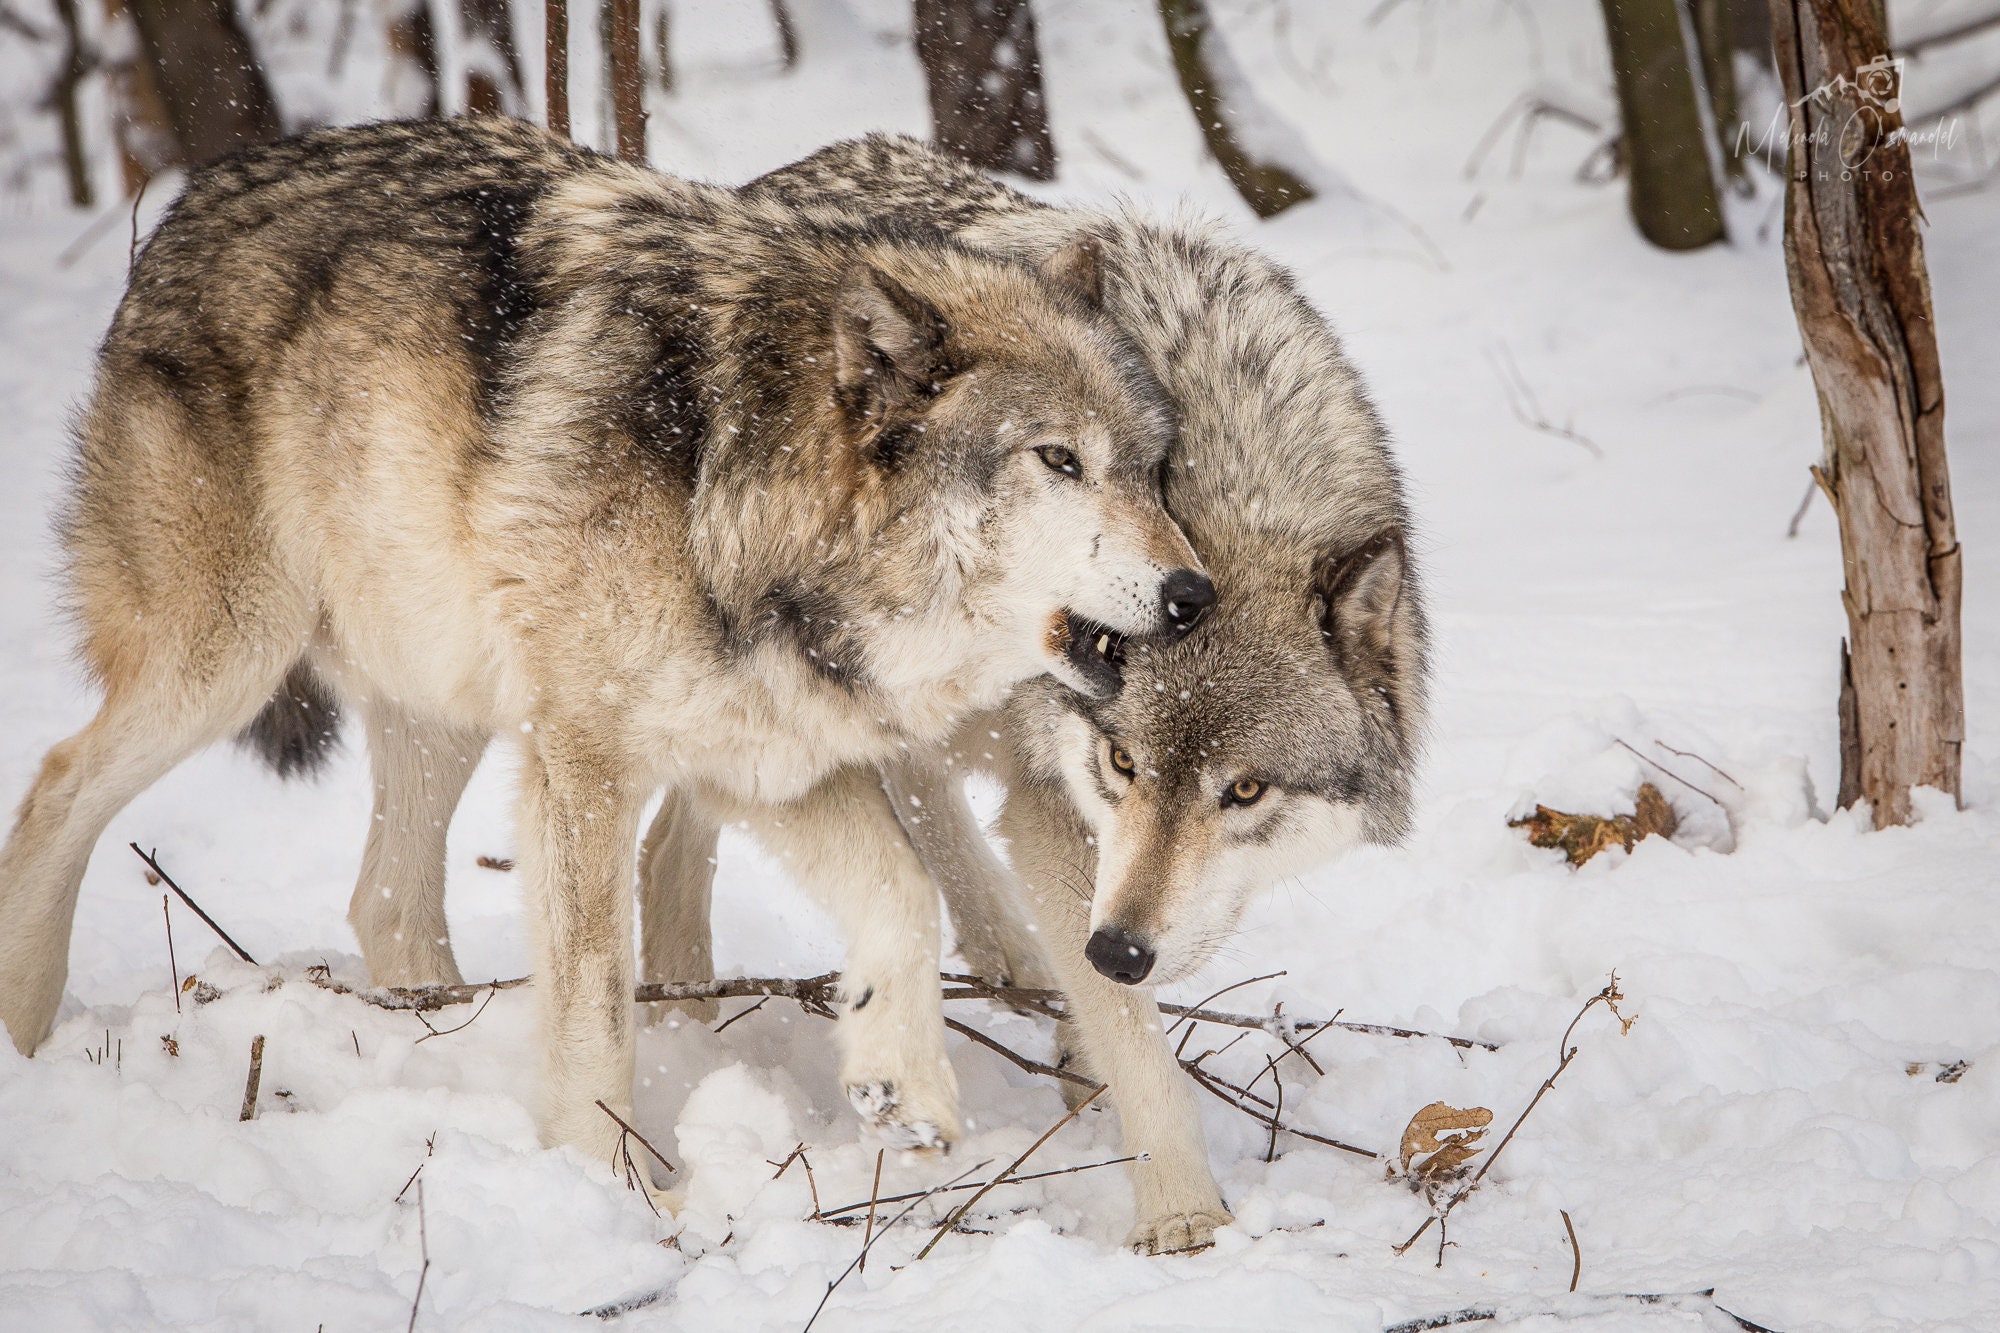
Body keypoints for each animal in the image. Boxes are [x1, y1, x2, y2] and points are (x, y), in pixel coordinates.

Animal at [0, 117, 1211, 1178]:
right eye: (1057, 460)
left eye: (1152, 469)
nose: (1193, 594)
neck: (732, 488)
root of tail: (193, 196)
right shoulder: (587, 764)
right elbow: (596, 1010)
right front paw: (614, 1186)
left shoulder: (754, 754)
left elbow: (902, 891)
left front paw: (898, 1082)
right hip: (234, 660)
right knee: (56, 785)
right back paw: (26, 1035)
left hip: (445, 703)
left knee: (386, 899)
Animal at [631, 137, 1429, 1251]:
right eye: (1123, 760)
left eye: (1244, 791)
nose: (1122, 948)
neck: (1220, 491)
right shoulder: (1055, 805)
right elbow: (1138, 1044)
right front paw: (1184, 1217)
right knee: (680, 838)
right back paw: (683, 1023)